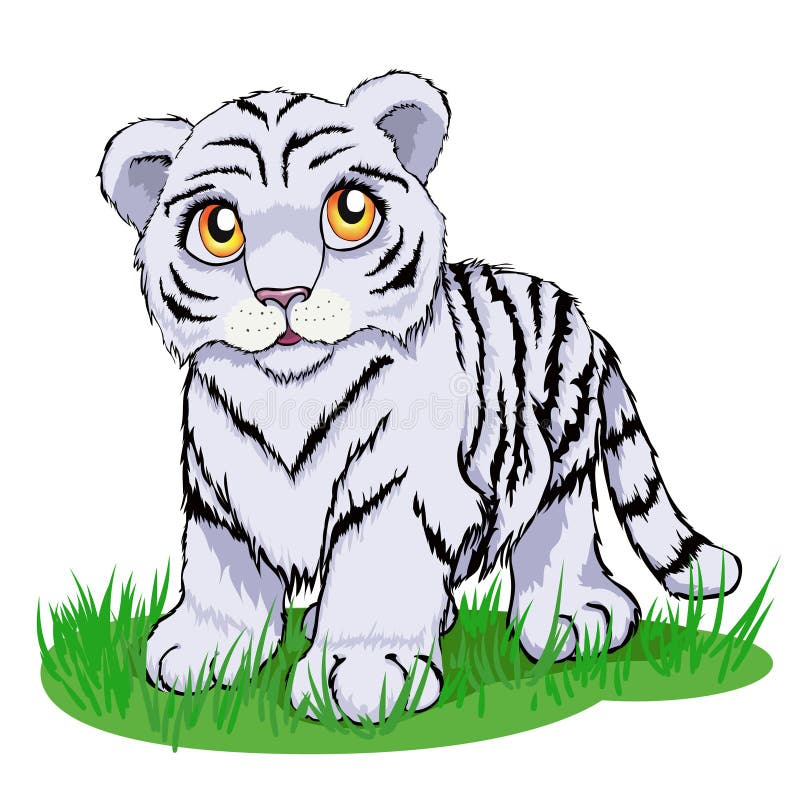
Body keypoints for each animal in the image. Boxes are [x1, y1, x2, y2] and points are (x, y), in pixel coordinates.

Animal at [98, 71, 741, 723]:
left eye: (350, 211)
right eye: (219, 227)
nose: (283, 293)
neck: (289, 395)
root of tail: (575, 310)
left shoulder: (400, 491)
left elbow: (377, 572)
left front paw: (360, 678)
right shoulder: (219, 492)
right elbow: (220, 568)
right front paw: (202, 649)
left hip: (559, 467)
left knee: (558, 533)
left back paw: (575, 618)